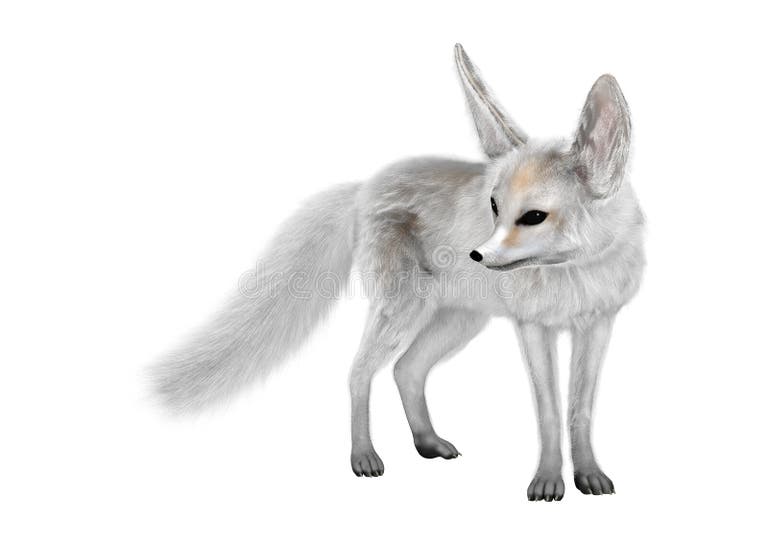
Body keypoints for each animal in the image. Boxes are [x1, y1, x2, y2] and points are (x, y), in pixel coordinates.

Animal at [150, 44, 645, 502]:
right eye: (494, 207)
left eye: (534, 217)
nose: (476, 255)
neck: (573, 276)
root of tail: (363, 188)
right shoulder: (532, 327)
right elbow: (549, 411)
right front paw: (547, 481)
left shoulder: (598, 324)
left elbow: (580, 410)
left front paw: (588, 475)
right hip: (402, 313)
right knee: (358, 372)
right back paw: (363, 457)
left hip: (457, 322)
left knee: (406, 370)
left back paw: (427, 443)